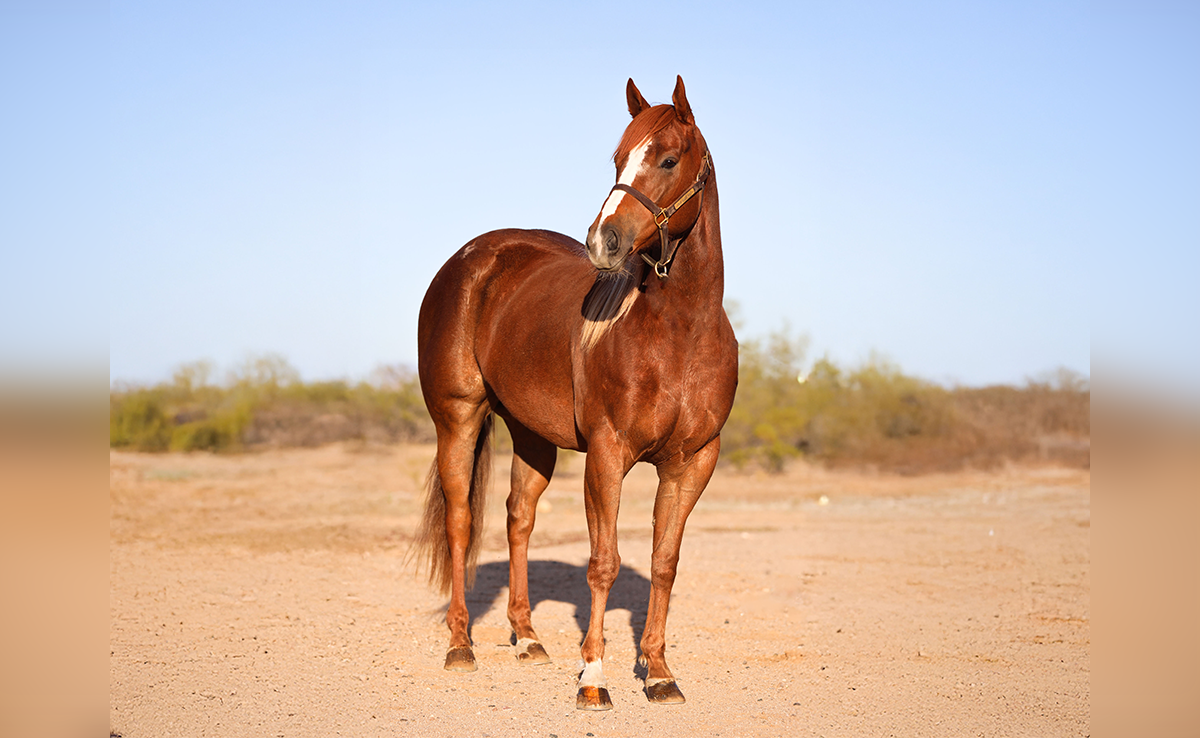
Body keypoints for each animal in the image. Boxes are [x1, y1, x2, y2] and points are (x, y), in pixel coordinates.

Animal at [414, 76, 738, 711]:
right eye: (617, 159)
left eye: (668, 159)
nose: (602, 241)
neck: (681, 333)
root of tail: (471, 259)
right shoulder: (608, 455)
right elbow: (604, 562)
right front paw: (593, 675)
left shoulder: (692, 462)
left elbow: (664, 563)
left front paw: (659, 673)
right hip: (458, 419)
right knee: (462, 522)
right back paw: (460, 645)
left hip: (532, 435)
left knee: (518, 518)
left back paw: (528, 638)